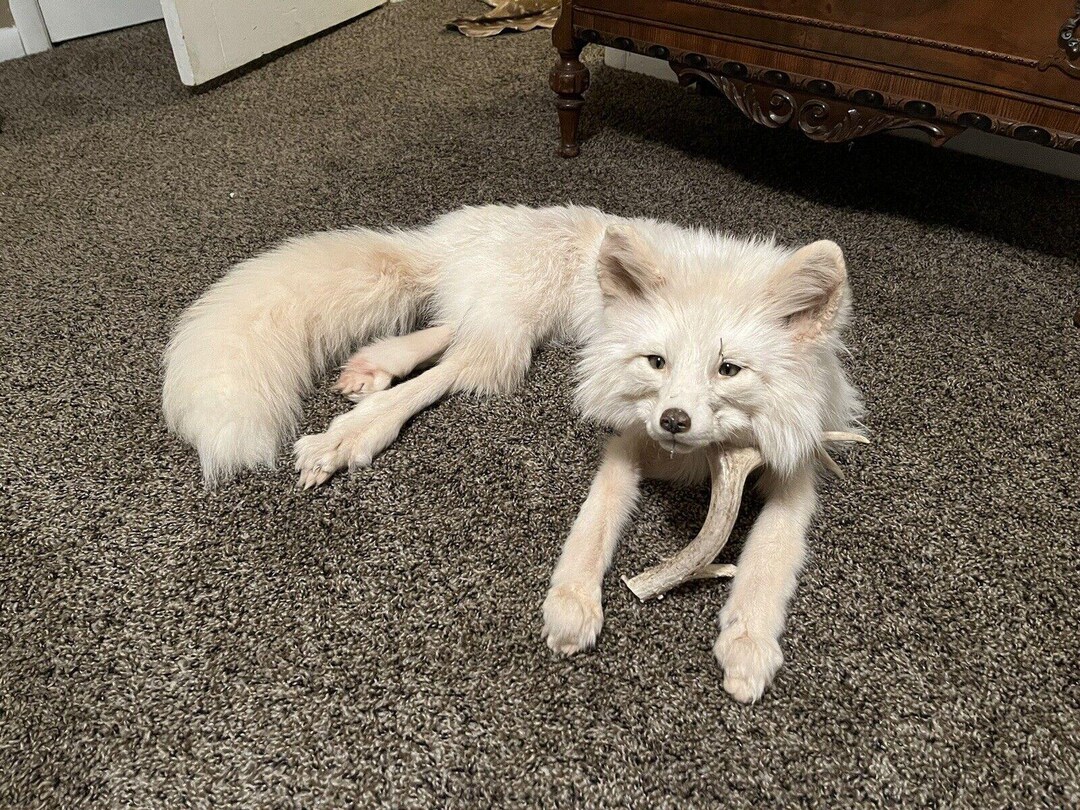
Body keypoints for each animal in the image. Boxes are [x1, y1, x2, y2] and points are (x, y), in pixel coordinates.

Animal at [162, 204, 863, 702]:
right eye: (656, 361)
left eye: (729, 369)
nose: (675, 420)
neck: (701, 457)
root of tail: (469, 233)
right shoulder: (627, 436)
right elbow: (595, 524)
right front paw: (573, 605)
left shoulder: (796, 470)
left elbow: (768, 561)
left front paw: (747, 645)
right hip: (508, 344)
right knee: (444, 366)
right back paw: (349, 433)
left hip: (510, 326)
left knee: (445, 329)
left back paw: (373, 367)